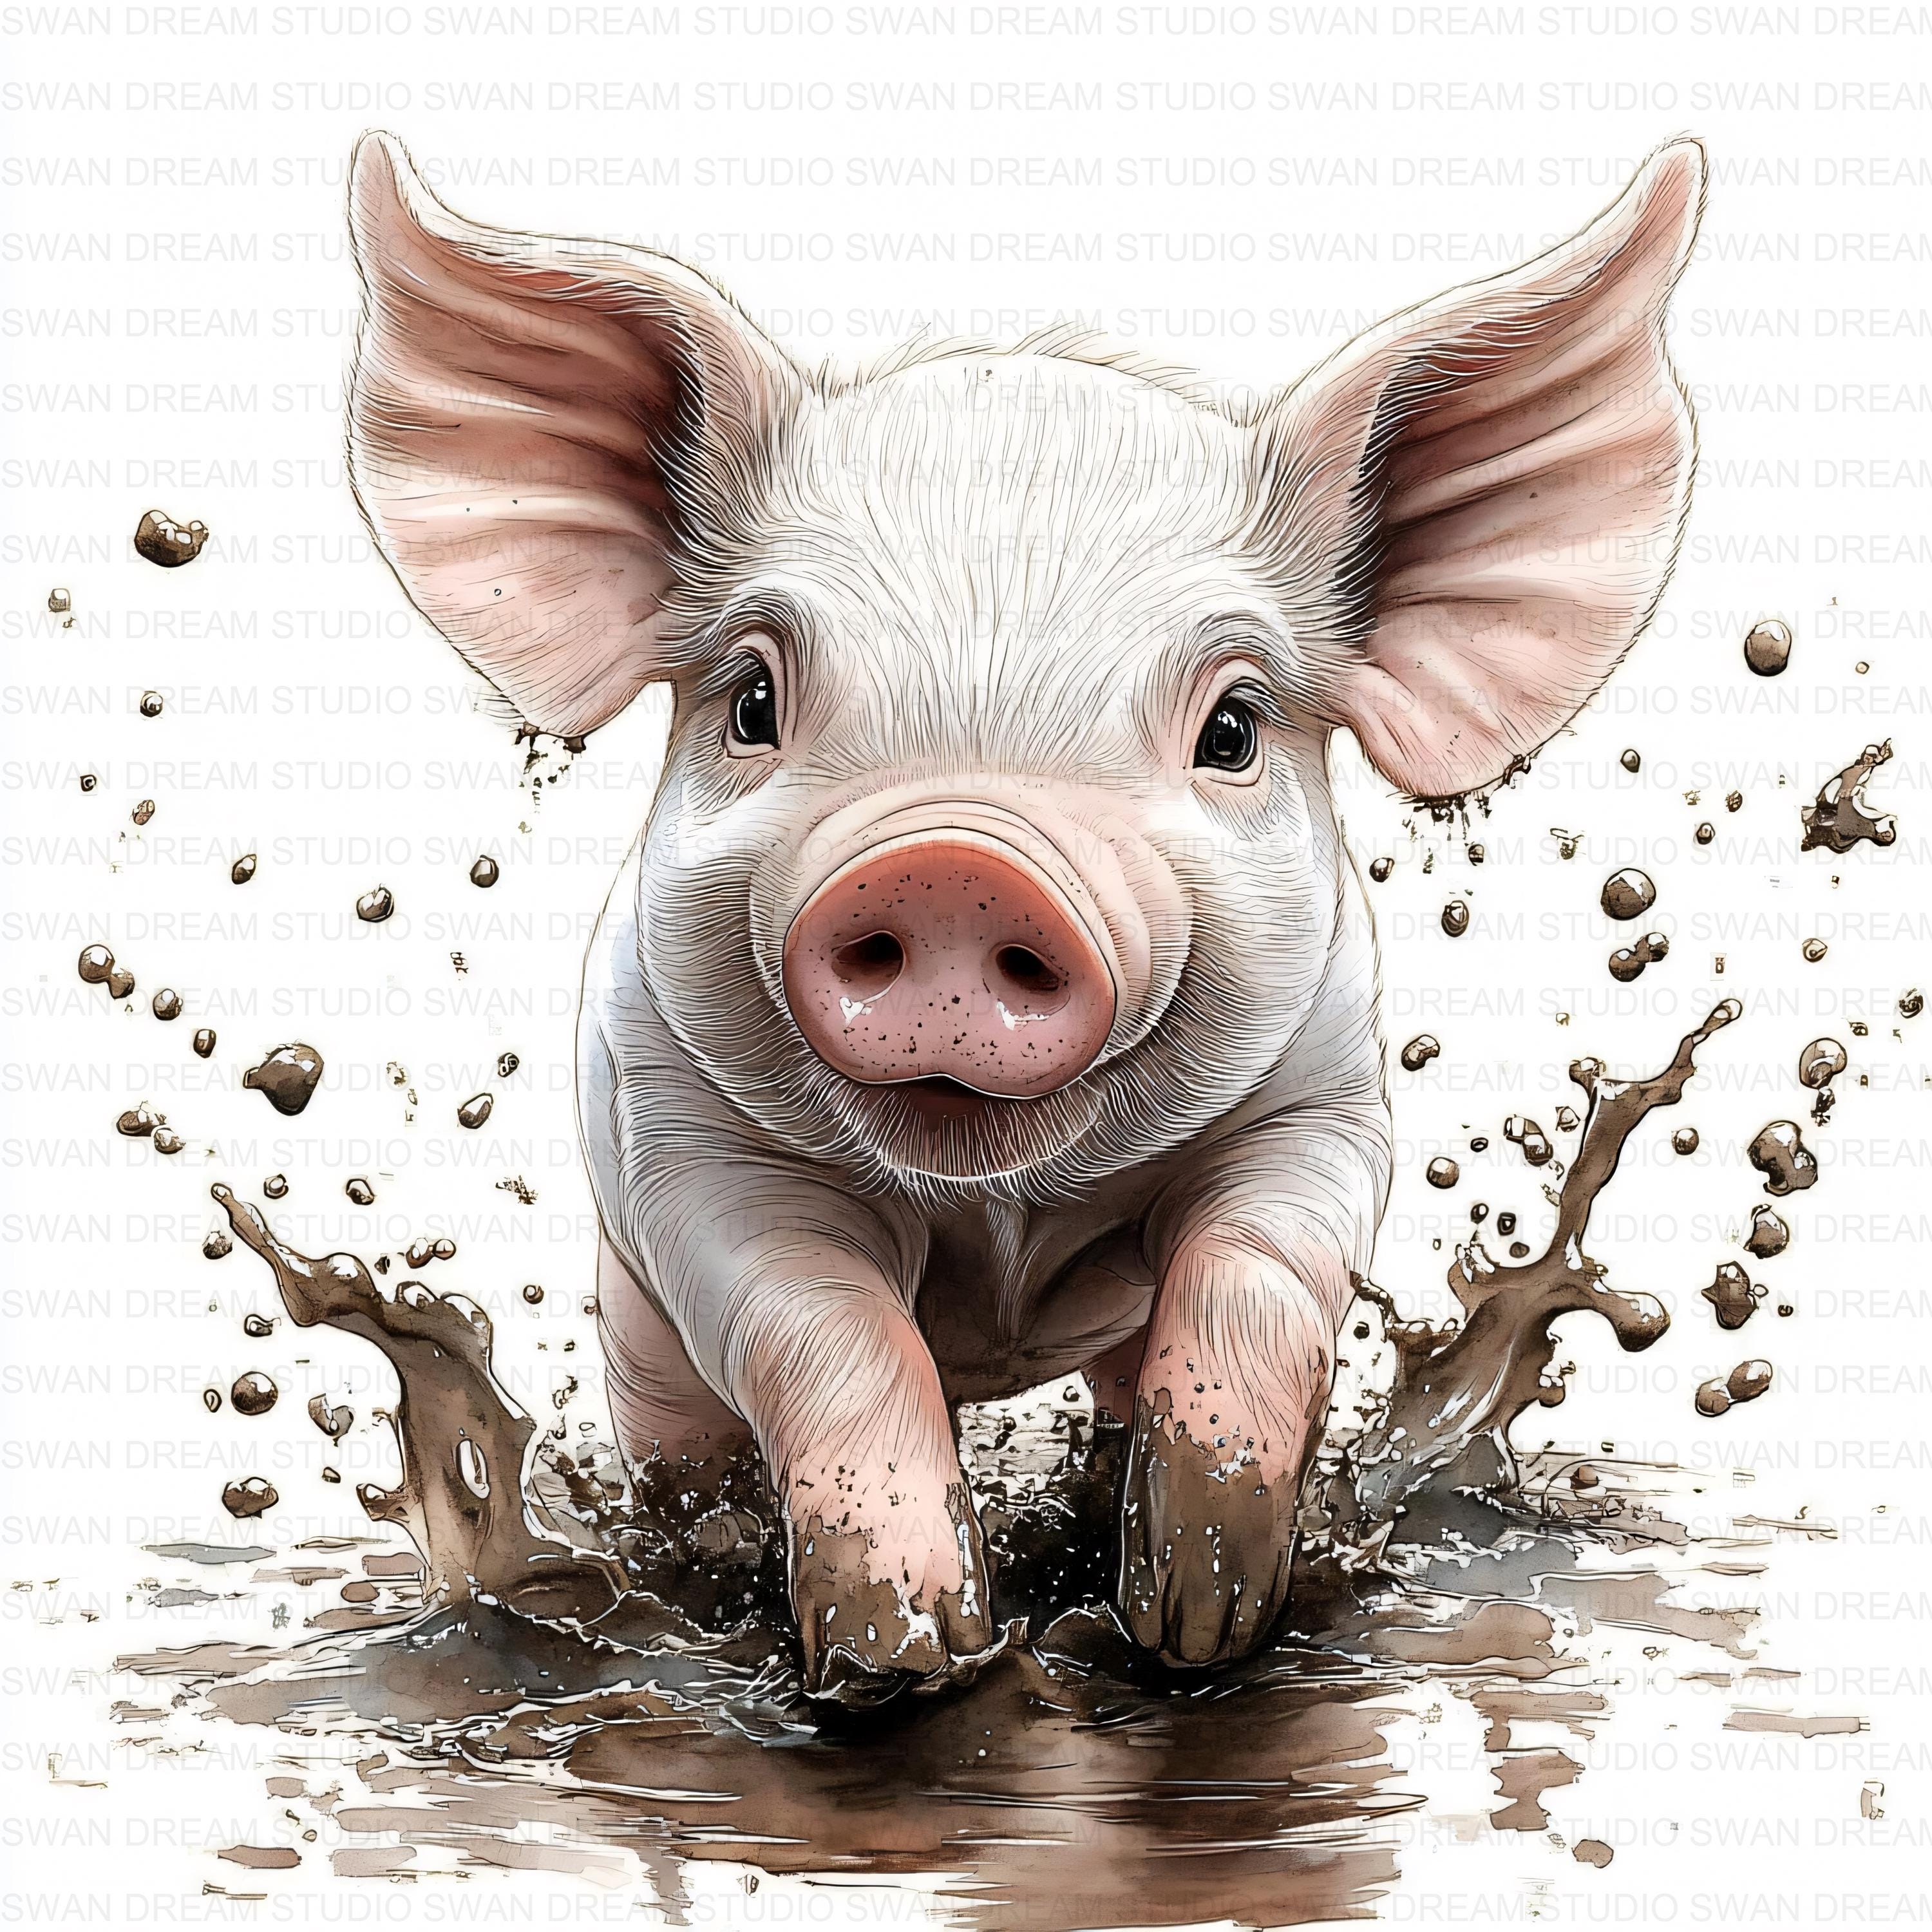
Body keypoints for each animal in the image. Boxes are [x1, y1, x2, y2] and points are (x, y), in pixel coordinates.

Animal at [344, 130, 1704, 1694]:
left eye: (1232, 728)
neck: (998, 1219)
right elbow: (822, 1328)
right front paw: (911, 1658)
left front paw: (1193, 1622)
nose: (952, 862)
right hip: (636, 1341)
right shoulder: (681, 1145)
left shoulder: (1325, 1099)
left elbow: (1257, 1273)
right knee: (690, 1457)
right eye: (753, 700)